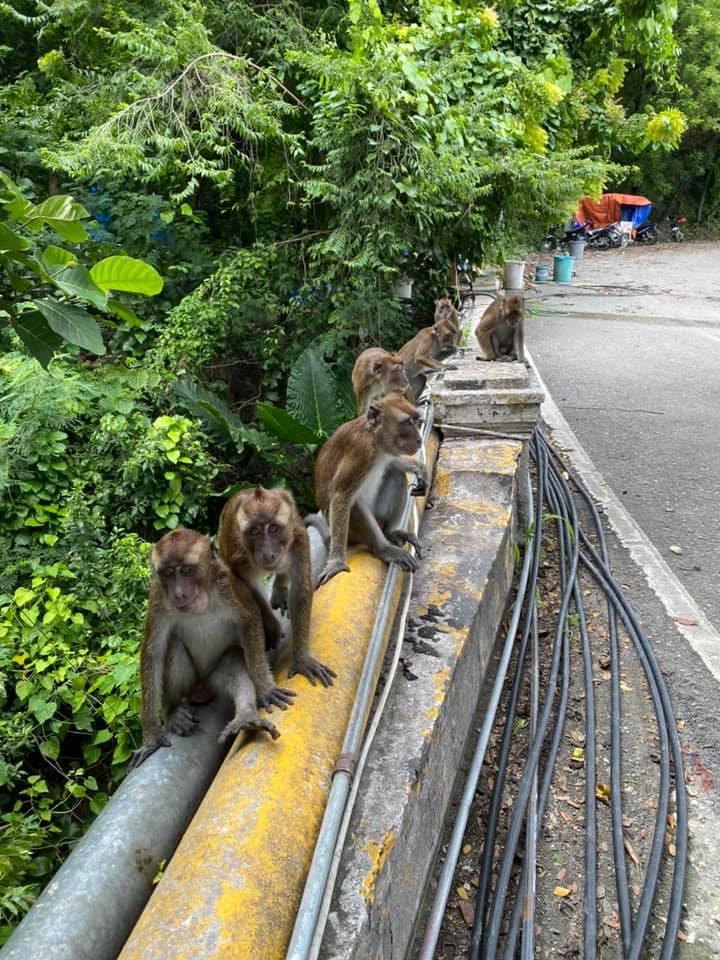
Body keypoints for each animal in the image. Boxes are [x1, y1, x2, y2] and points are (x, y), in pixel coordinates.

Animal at [130, 528, 287, 769]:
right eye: (168, 573)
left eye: (186, 570)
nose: (178, 594)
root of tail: (202, 689)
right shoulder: (157, 596)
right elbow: (152, 654)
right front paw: (151, 737)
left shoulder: (226, 583)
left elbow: (250, 620)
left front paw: (265, 687)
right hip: (195, 684)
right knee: (174, 646)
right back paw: (173, 710)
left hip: (214, 681)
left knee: (233, 659)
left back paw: (246, 716)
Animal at [217, 486, 336, 688]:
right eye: (254, 531)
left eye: (273, 528)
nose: (268, 554)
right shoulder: (238, 557)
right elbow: (249, 588)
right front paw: (272, 627)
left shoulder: (298, 540)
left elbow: (300, 591)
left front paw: (302, 660)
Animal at [314, 392, 428, 585]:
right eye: (407, 423)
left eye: (415, 420)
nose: (419, 439)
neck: (375, 438)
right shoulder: (362, 451)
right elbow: (341, 495)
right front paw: (337, 563)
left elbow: (392, 463)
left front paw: (420, 469)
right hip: (352, 533)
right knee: (353, 505)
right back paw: (383, 548)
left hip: (379, 515)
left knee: (395, 474)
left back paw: (392, 532)